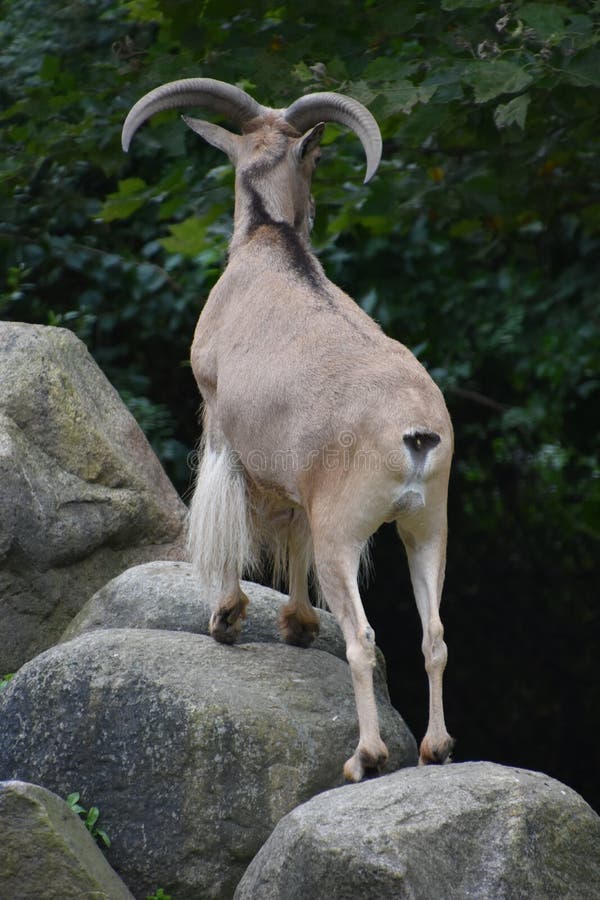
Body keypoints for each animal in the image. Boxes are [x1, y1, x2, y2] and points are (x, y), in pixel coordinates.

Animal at [122, 78, 454, 781]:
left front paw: (226, 618)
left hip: (346, 533)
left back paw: (365, 756)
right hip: (426, 526)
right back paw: (435, 749)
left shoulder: (217, 420)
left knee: (363, 639)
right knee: (433, 635)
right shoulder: (303, 484)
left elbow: (227, 513)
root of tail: (416, 434)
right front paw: (297, 625)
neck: (268, 244)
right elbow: (289, 531)